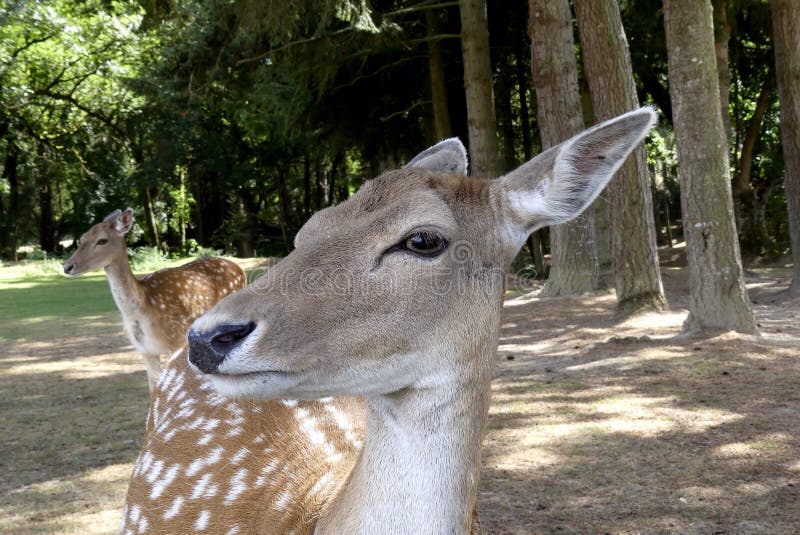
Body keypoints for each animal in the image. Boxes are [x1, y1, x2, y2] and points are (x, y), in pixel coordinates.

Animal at [63, 208, 247, 391]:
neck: (142, 310)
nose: (67, 266)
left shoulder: (174, 341)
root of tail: (241, 270)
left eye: (102, 240)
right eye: (82, 239)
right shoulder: (145, 351)